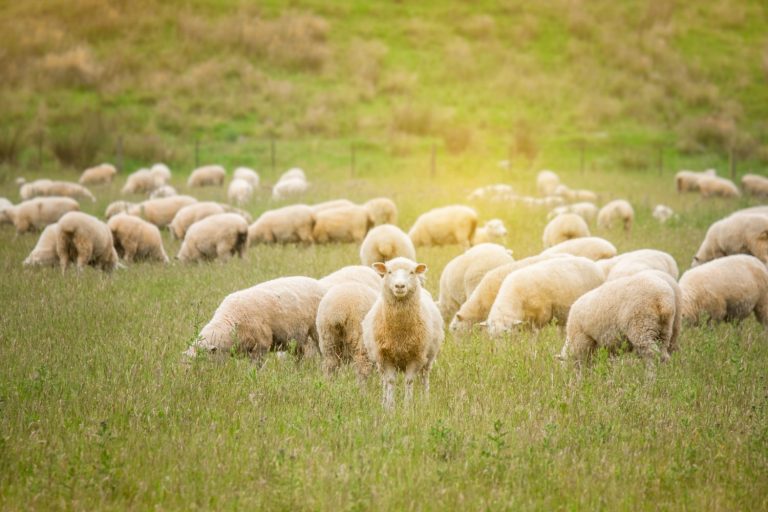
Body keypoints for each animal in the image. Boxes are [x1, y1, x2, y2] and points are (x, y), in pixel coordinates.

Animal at [362, 257, 444, 409]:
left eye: (411, 272)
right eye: (389, 272)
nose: (399, 286)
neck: (399, 333)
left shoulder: (415, 356)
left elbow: (409, 381)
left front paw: (407, 406)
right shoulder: (386, 356)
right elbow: (390, 381)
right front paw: (389, 406)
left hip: (428, 358)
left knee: (424, 377)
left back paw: (425, 400)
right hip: (379, 361)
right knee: (383, 380)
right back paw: (383, 401)